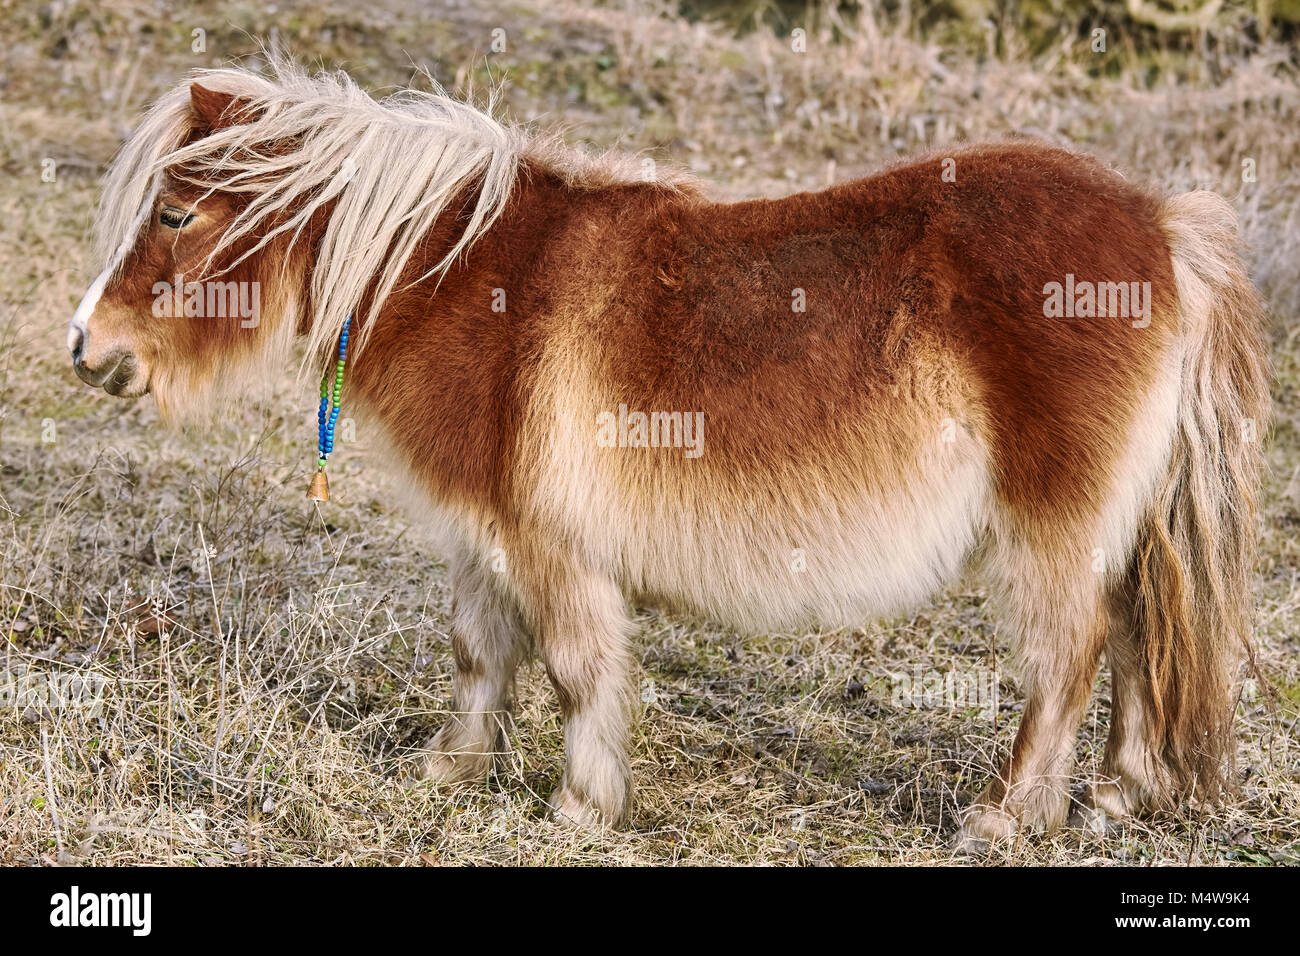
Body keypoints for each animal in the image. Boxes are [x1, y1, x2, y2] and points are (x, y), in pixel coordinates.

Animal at [68, 62, 1269, 843]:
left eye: (174, 213)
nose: (86, 350)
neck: (464, 280)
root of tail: (1163, 225)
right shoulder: (480, 529)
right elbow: (477, 650)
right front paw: (451, 769)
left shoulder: (549, 544)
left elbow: (573, 668)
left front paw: (578, 807)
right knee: (1135, 634)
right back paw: (1114, 795)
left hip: (1053, 525)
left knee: (1068, 654)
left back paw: (1004, 819)